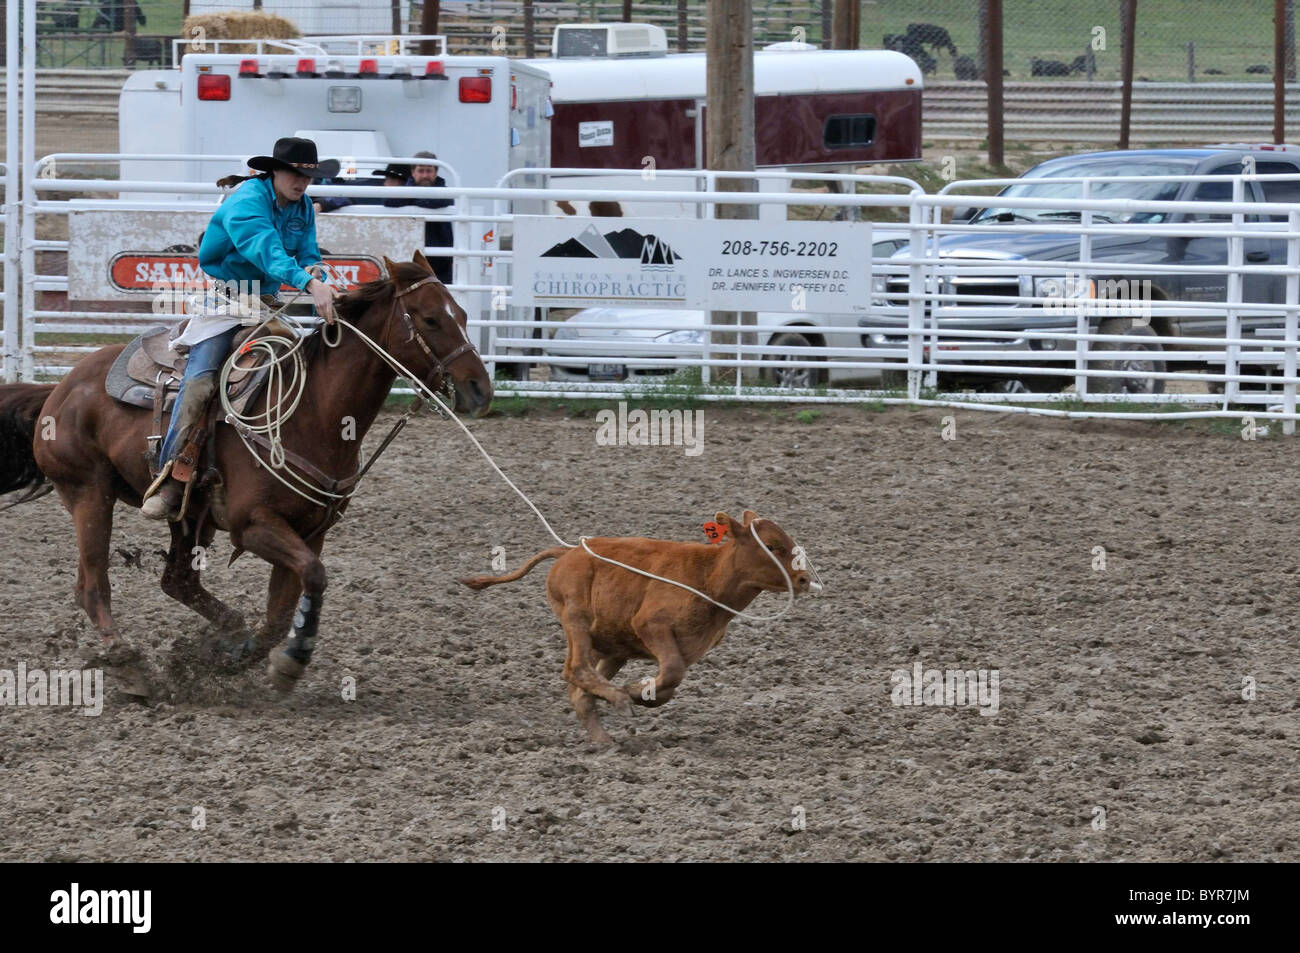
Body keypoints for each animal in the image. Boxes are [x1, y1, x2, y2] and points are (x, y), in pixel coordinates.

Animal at [459, 510, 817, 744]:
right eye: (771, 545)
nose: (803, 579)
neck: (708, 578)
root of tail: (569, 552)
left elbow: (668, 687)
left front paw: (639, 693)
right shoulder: (652, 625)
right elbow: (672, 673)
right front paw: (631, 692)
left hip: (613, 647)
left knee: (580, 690)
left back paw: (606, 739)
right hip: (576, 619)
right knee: (575, 669)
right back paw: (617, 702)